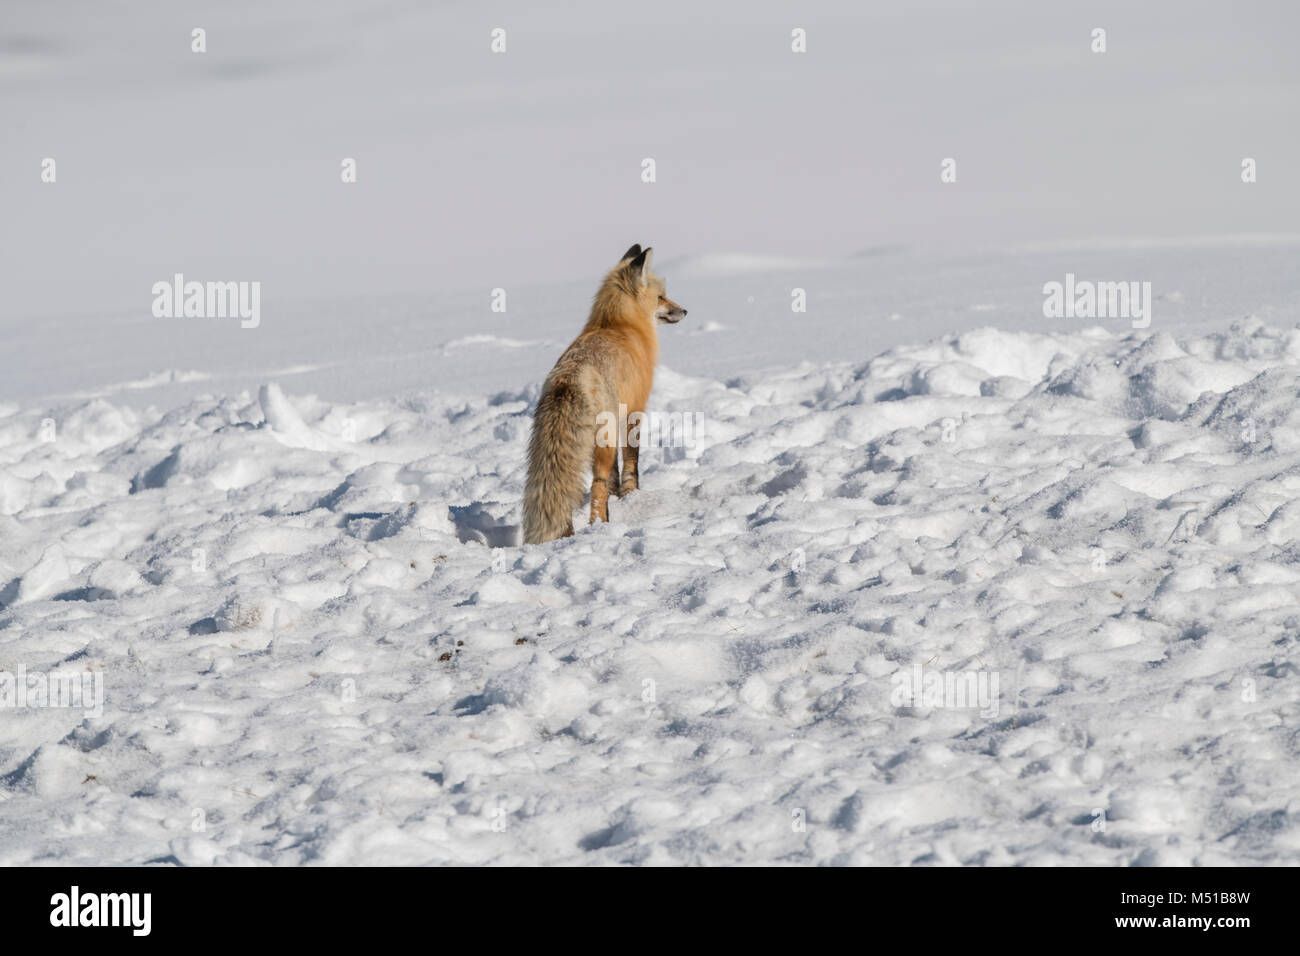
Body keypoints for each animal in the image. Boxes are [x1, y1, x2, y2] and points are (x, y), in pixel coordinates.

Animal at [522, 244, 687, 544]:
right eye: (661, 297)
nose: (684, 310)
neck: (618, 325)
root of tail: (569, 379)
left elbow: (614, 475)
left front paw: (618, 498)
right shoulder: (634, 409)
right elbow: (631, 461)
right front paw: (632, 495)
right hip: (604, 440)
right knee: (596, 484)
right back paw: (599, 525)